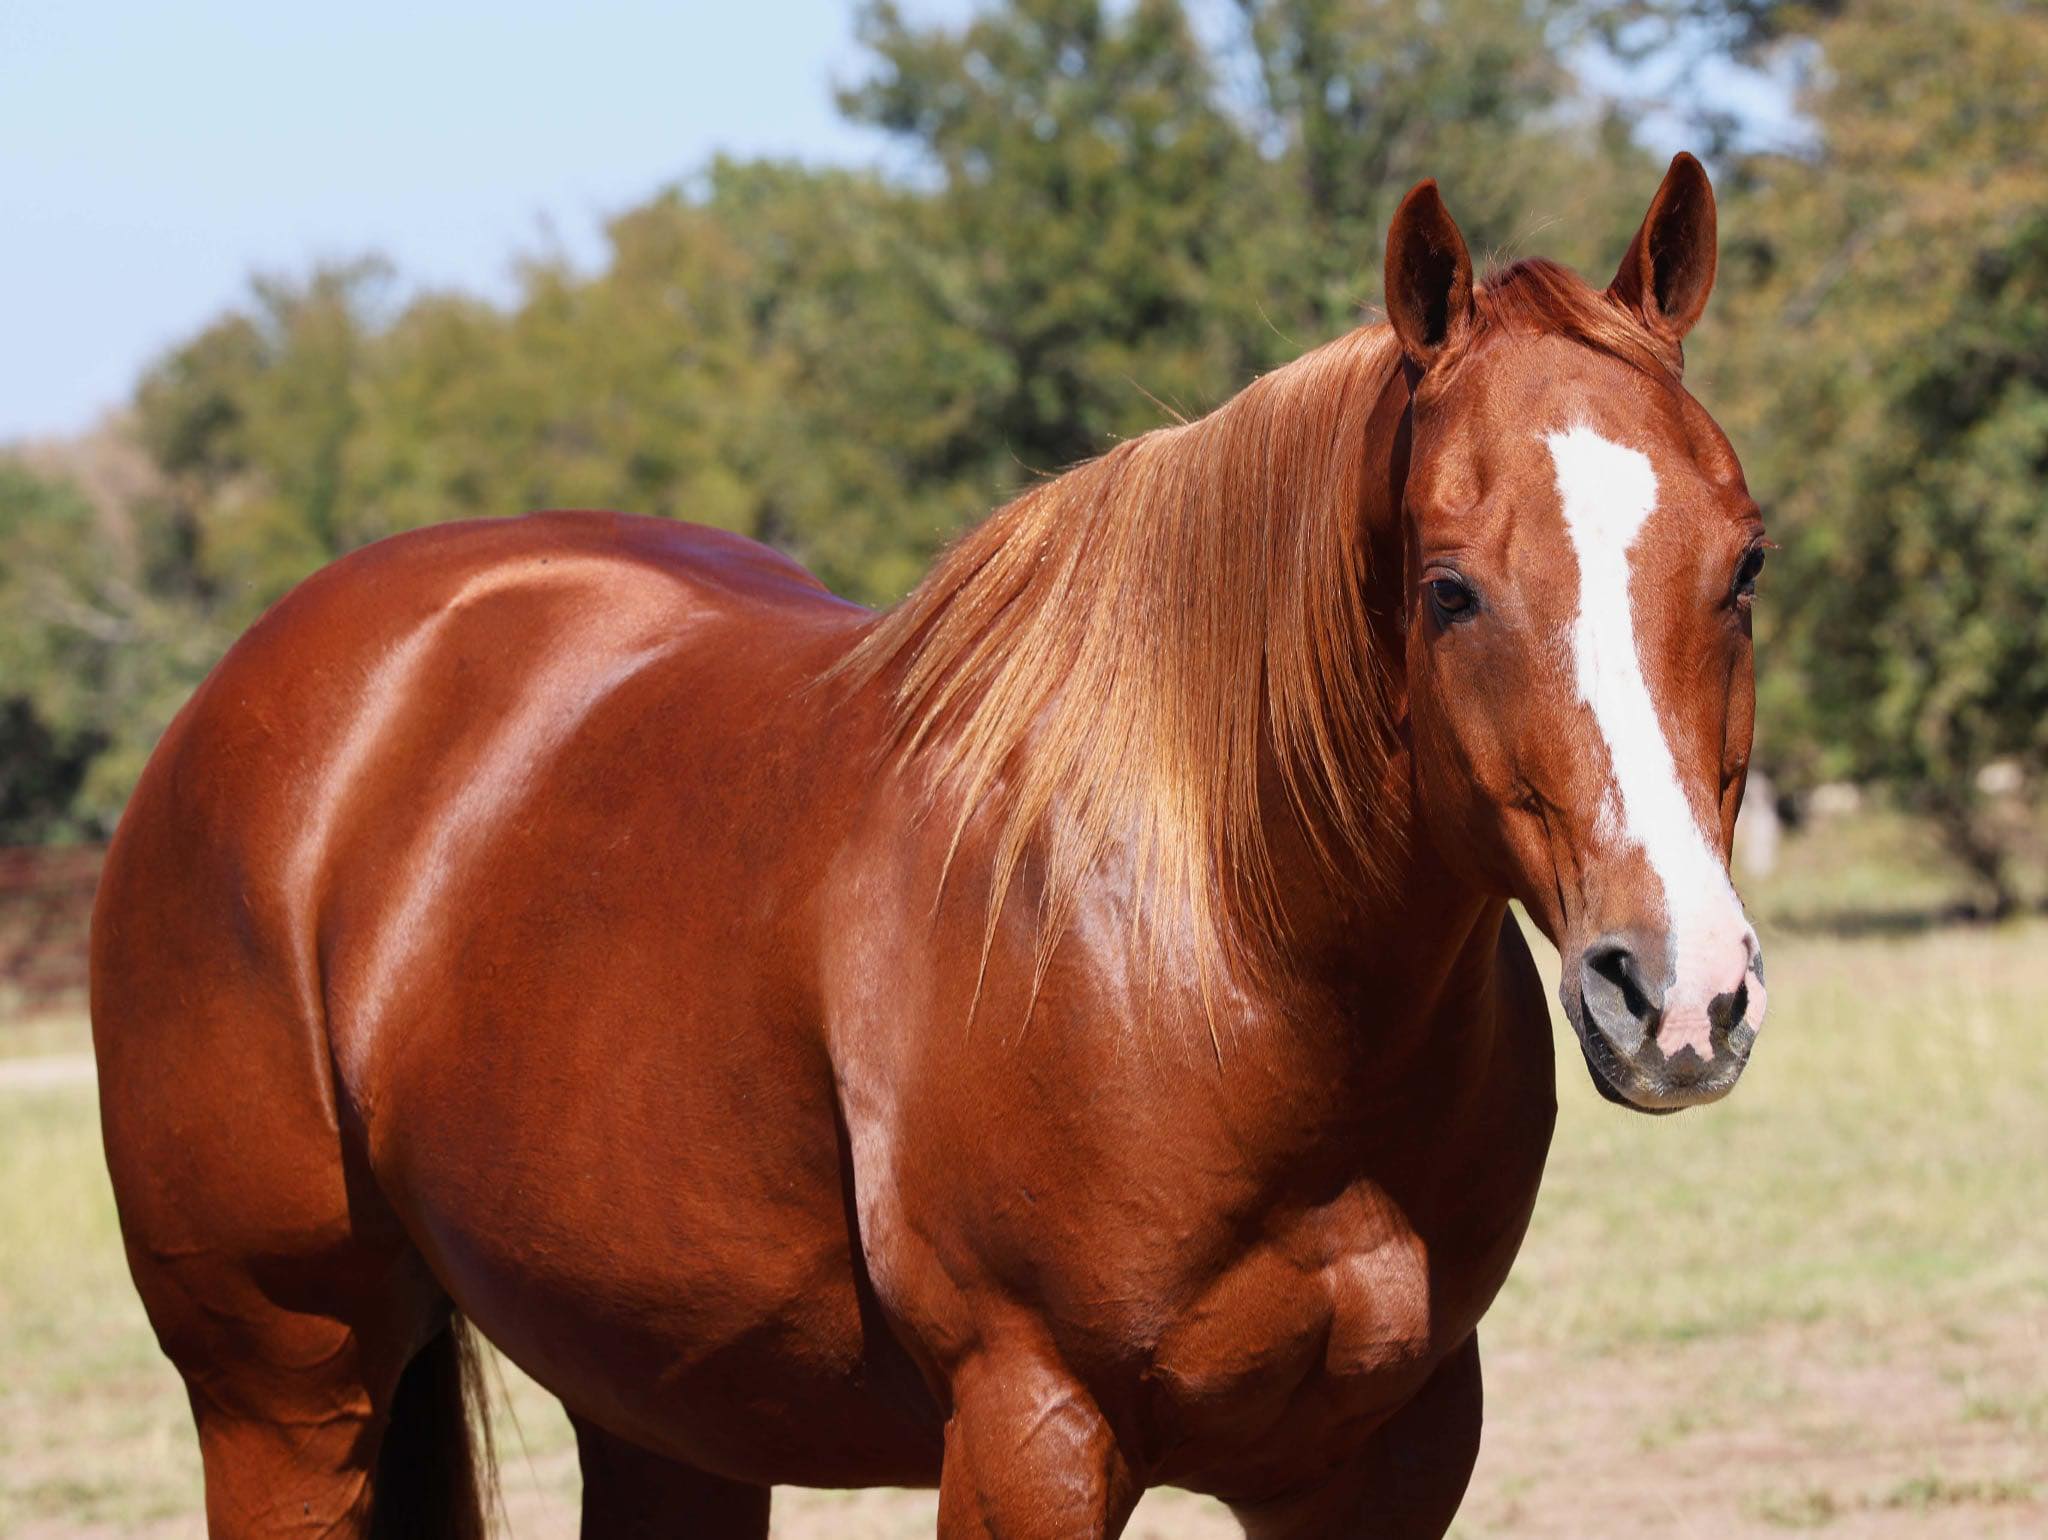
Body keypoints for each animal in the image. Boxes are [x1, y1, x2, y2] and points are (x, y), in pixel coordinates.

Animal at [92, 153, 1767, 1538]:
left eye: (1745, 564)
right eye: (1447, 588)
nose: (1680, 995)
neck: (1216, 951)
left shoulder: (1382, 1461)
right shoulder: (1033, 1434)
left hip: (663, 1408)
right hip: (285, 1396)